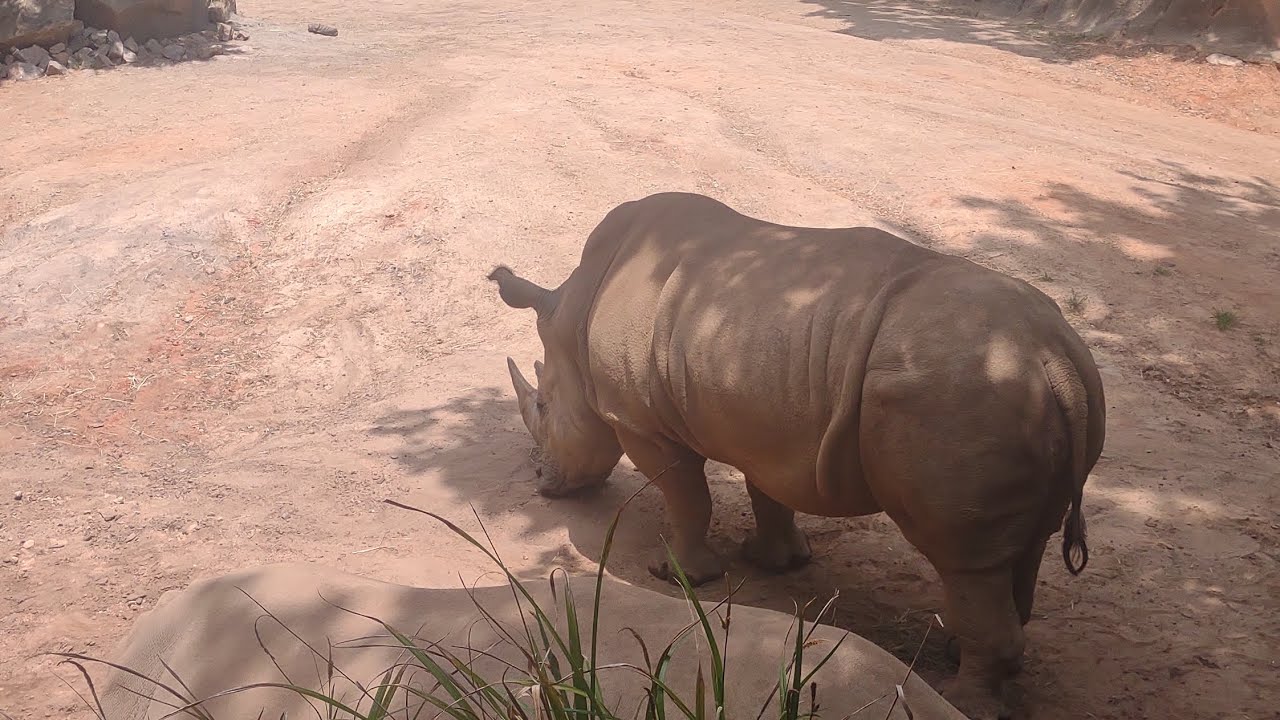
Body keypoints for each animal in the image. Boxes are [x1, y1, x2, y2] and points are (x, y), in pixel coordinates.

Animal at [490, 191, 1106, 719]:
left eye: (542, 405)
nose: (545, 483)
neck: (576, 313)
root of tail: (1055, 358)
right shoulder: (765, 419)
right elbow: (767, 492)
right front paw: (776, 562)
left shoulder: (637, 421)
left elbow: (685, 494)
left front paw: (675, 574)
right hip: (1021, 395)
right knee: (1017, 549)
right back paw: (966, 660)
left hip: (963, 398)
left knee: (966, 558)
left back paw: (961, 701)